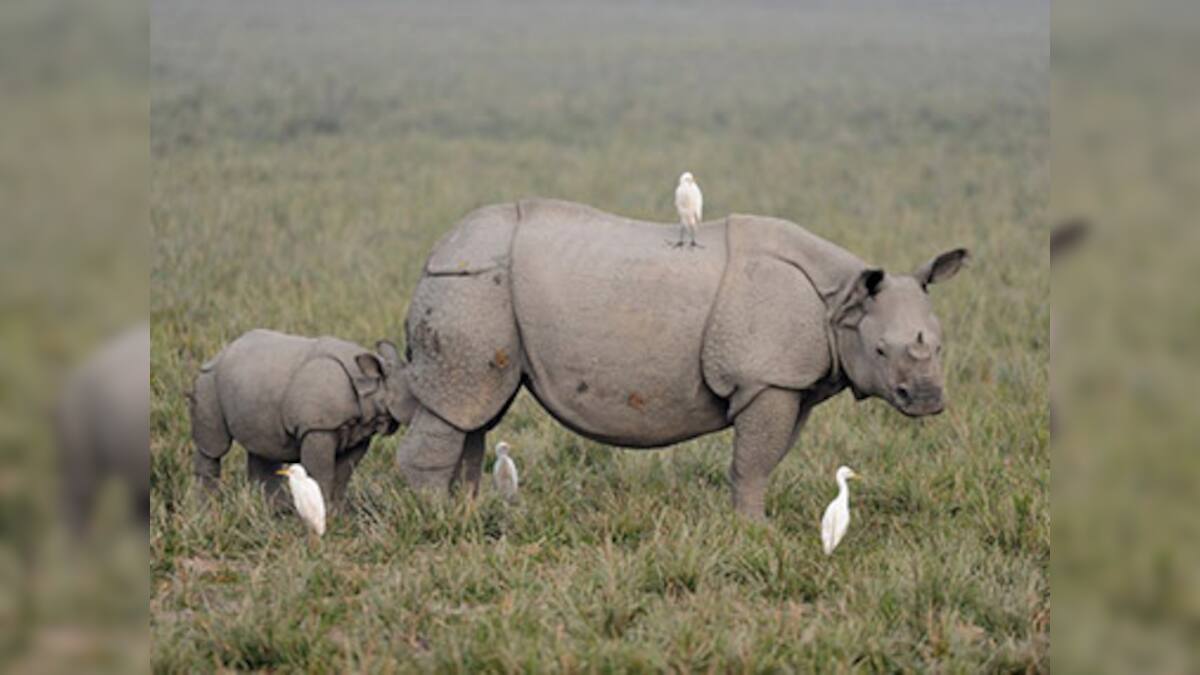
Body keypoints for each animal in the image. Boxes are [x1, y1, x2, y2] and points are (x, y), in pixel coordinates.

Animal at [190, 330, 415, 504]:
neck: (373, 385)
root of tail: (221, 352)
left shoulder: (361, 430)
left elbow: (343, 474)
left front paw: (337, 514)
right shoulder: (318, 428)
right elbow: (320, 472)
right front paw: (324, 513)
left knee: (263, 446)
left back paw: (273, 513)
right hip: (209, 379)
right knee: (214, 447)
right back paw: (207, 509)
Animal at [391, 199, 968, 519]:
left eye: (940, 345)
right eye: (881, 350)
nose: (927, 400)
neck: (841, 301)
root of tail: (437, 249)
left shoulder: (790, 382)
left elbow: (766, 457)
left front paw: (750, 521)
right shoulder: (767, 379)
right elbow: (754, 459)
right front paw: (755, 530)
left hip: (478, 287)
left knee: (473, 409)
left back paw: (465, 512)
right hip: (471, 284)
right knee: (463, 400)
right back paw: (436, 520)